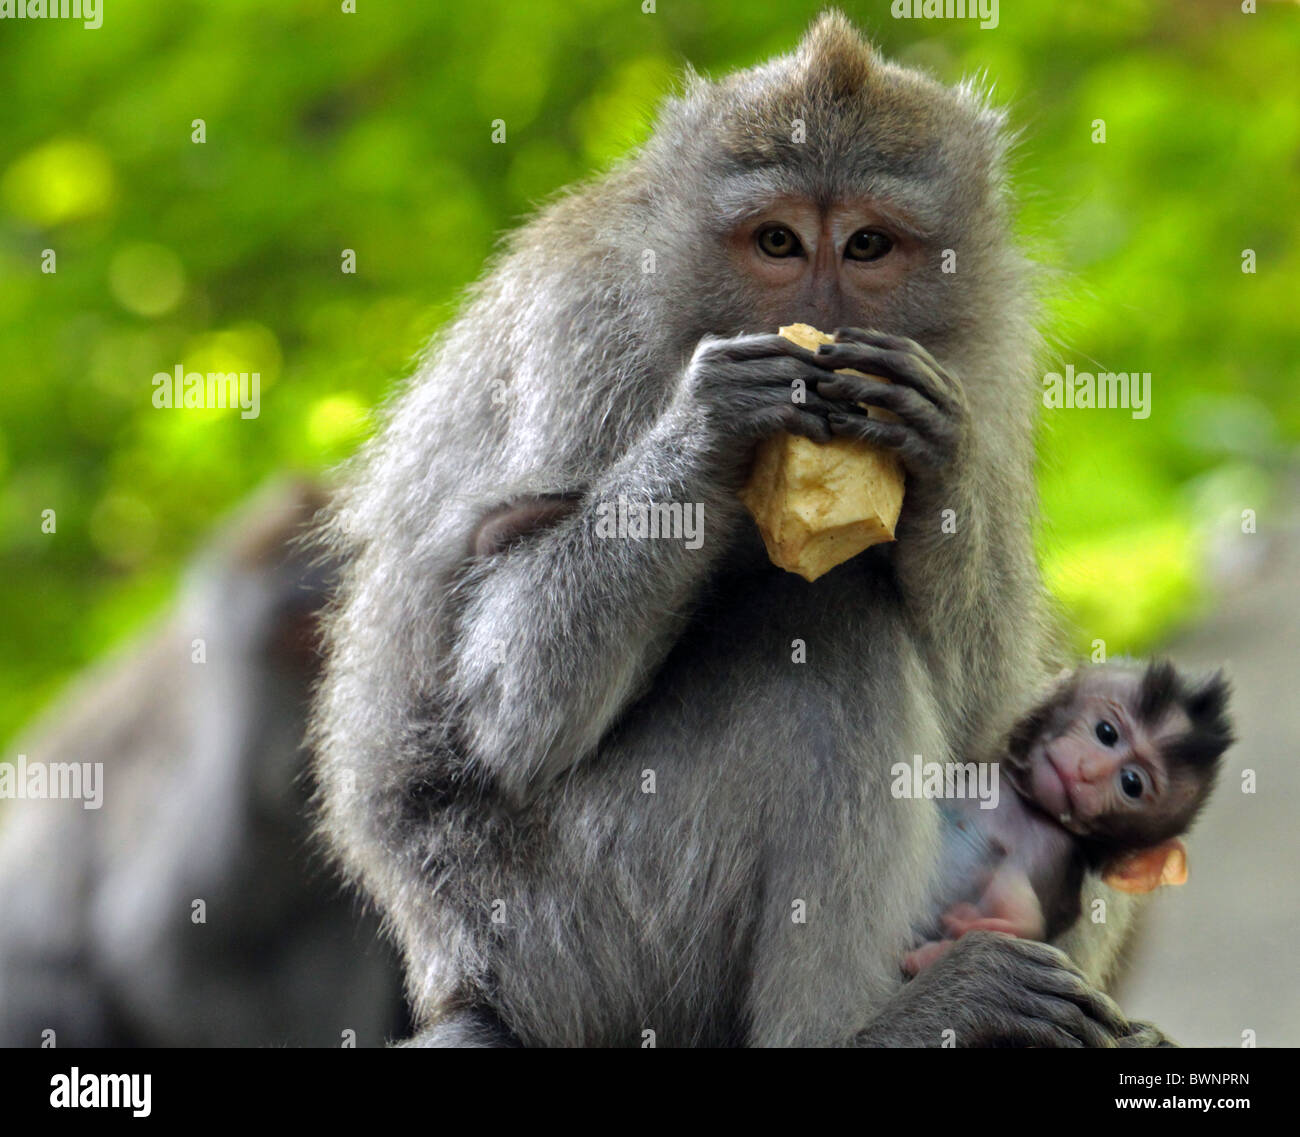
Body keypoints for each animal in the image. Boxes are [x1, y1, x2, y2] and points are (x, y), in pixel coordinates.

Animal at [312, 12, 1176, 1047]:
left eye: (867, 245)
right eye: (777, 241)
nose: (818, 324)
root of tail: (458, 979)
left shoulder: (990, 366)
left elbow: (988, 717)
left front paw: (933, 446)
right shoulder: (584, 337)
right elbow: (513, 704)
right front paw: (710, 425)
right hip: (575, 933)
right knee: (828, 637)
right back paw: (869, 1029)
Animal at [902, 660, 1233, 976]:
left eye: (1132, 784)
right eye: (1106, 733)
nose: (1088, 769)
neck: (1025, 804)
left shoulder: (1053, 854)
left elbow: (1025, 921)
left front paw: (968, 928)